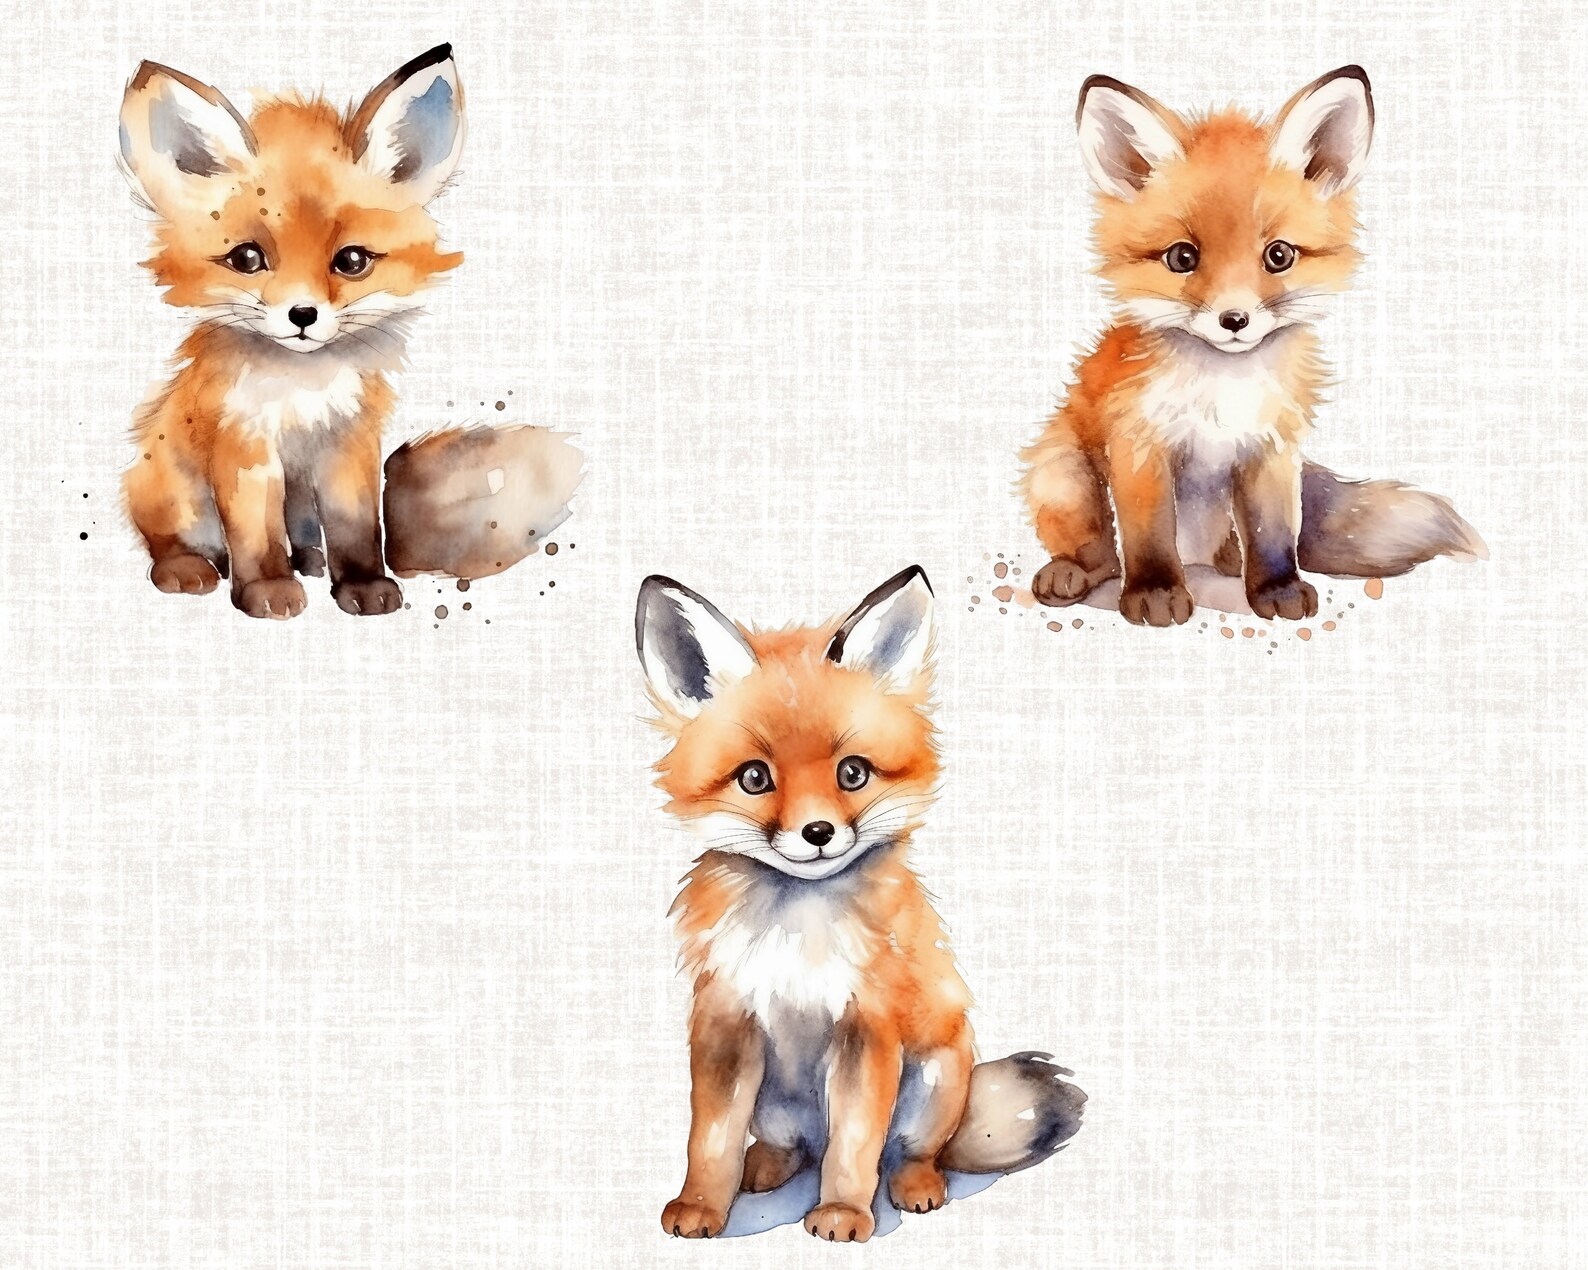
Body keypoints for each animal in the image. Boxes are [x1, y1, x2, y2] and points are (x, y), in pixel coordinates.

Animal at [118, 45, 577, 619]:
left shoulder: (350, 441)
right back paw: (189, 568)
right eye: (247, 258)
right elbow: (255, 535)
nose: (303, 315)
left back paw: (310, 561)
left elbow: (357, 526)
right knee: (171, 541)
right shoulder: (245, 444)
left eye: (352, 261)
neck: (303, 392)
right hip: (171, 491)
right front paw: (268, 590)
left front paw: (362, 586)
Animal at [636, 566, 1085, 1243]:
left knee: (904, 1151)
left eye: (852, 774)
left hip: (935, 1079)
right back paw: (767, 1165)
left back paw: (916, 1186)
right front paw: (700, 1206)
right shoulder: (725, 1020)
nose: (818, 832)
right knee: (794, 1147)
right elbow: (709, 1139)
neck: (798, 937)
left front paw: (844, 1213)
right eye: (754, 778)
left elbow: (855, 1146)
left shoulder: (867, 1029)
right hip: (775, 1102)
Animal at [1022, 66, 1486, 626]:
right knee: (1100, 552)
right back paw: (1070, 572)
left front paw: (1275, 590)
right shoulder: (1139, 444)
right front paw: (1155, 593)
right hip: (1062, 474)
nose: (1234, 319)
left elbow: (1273, 533)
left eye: (1279, 255)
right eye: (1182, 257)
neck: (1224, 389)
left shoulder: (1272, 448)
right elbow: (1147, 535)